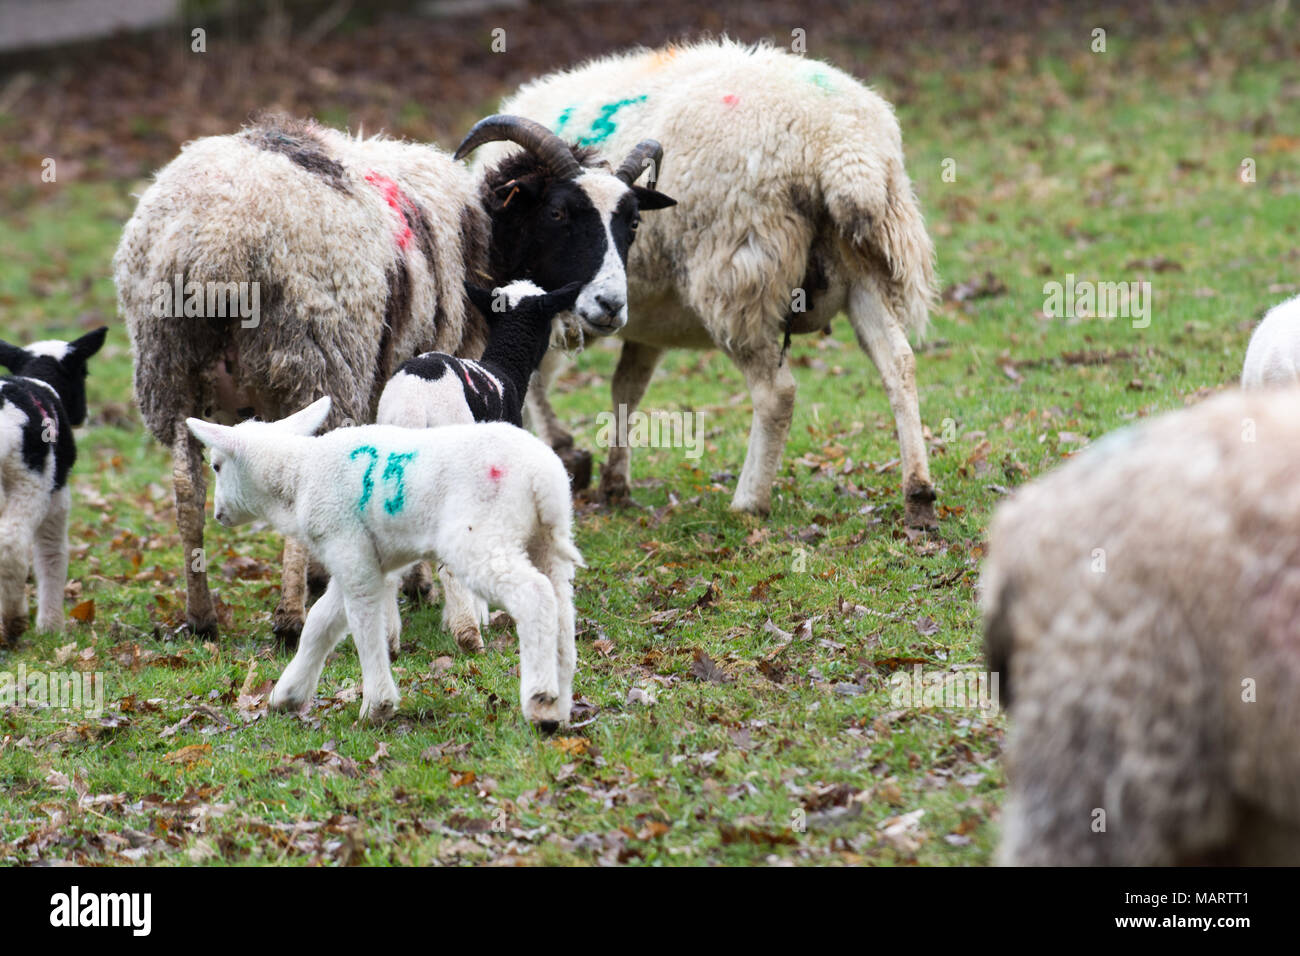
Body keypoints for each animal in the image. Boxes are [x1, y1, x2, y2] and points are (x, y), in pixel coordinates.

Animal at [0, 328, 108, 646]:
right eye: (84, 372)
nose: (85, 415)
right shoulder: (57, 494)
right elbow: (52, 555)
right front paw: (51, 626)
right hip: (30, 483)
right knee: (11, 546)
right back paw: (14, 621)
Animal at [184, 396, 583, 728]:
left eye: (216, 466)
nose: (218, 514)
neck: (299, 474)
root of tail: (541, 479)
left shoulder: (349, 550)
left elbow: (363, 624)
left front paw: (377, 704)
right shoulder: (357, 556)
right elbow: (321, 622)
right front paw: (288, 695)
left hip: (481, 534)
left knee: (533, 595)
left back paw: (538, 693)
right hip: (546, 540)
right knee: (560, 606)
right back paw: (555, 709)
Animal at [479, 39, 938, 525]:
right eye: (559, 214)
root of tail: (838, 144)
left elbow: (537, 375)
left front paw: (568, 454)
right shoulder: (643, 326)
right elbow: (625, 387)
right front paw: (613, 481)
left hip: (736, 277)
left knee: (777, 392)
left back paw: (749, 501)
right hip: (866, 268)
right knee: (899, 365)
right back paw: (918, 492)